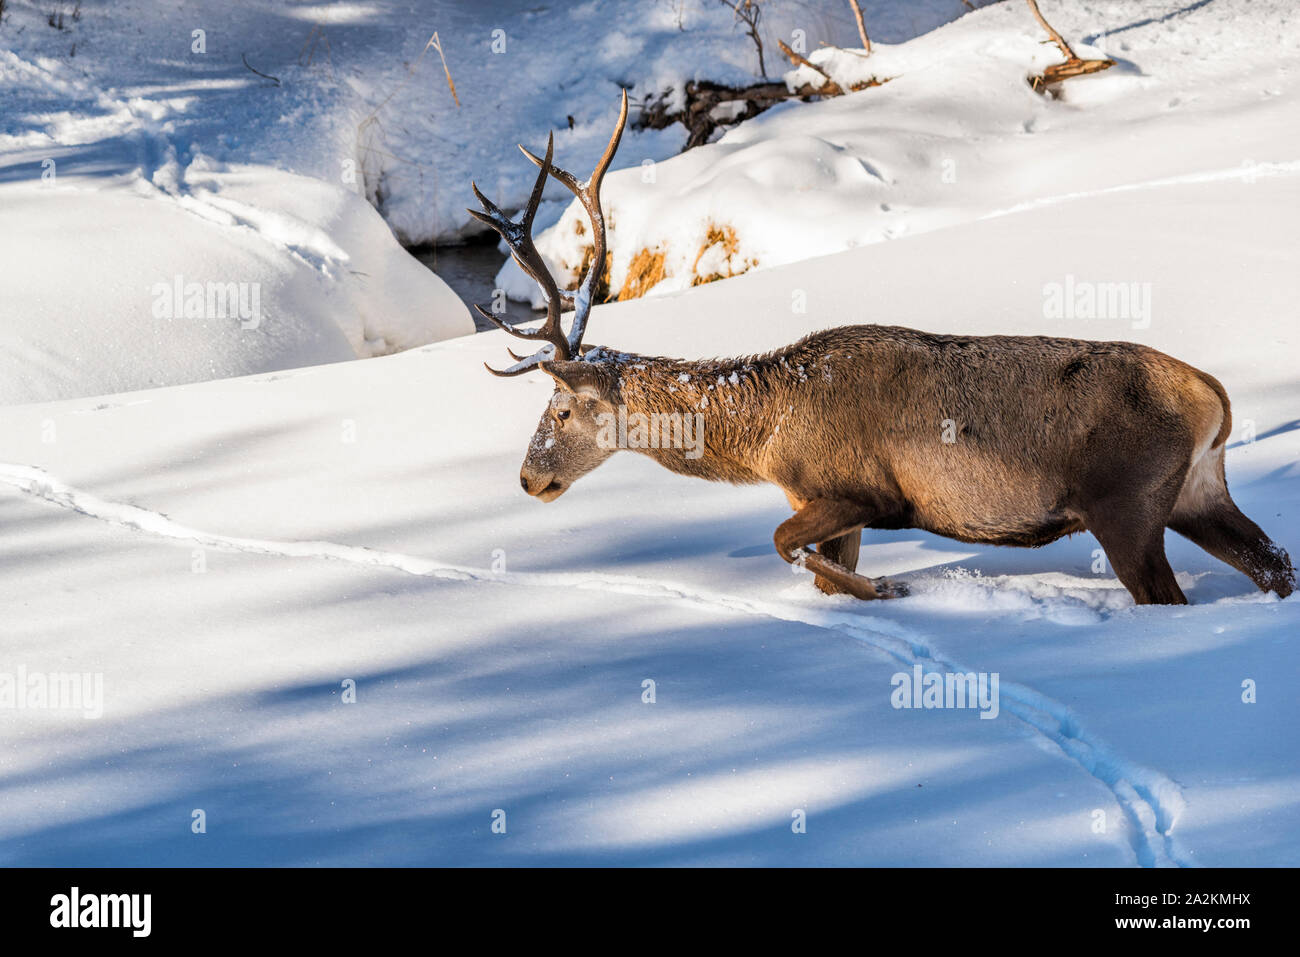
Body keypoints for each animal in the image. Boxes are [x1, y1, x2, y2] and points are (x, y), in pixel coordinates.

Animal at [467, 92, 1295, 606]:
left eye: (561, 409)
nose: (528, 478)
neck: (761, 438)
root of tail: (1215, 397)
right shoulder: (838, 507)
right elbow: (817, 568)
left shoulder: (852, 488)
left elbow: (787, 546)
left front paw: (892, 588)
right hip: (1198, 489)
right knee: (1276, 563)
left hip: (1125, 500)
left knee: (1169, 594)